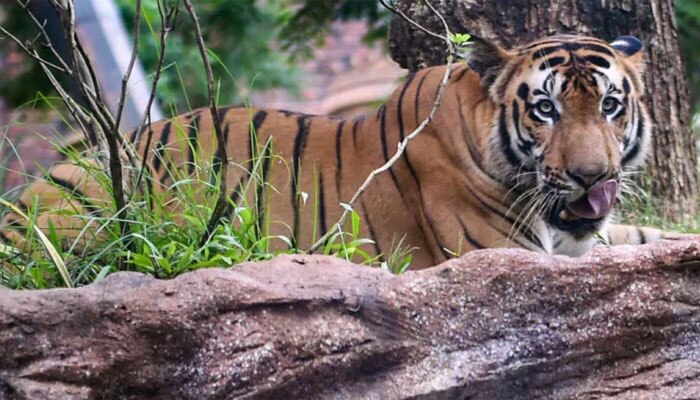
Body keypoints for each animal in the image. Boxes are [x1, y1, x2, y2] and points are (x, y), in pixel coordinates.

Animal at [0, 34, 682, 269]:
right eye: (545, 109)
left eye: (611, 106)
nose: (592, 177)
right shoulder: (500, 250)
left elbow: (650, 236)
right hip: (88, 194)